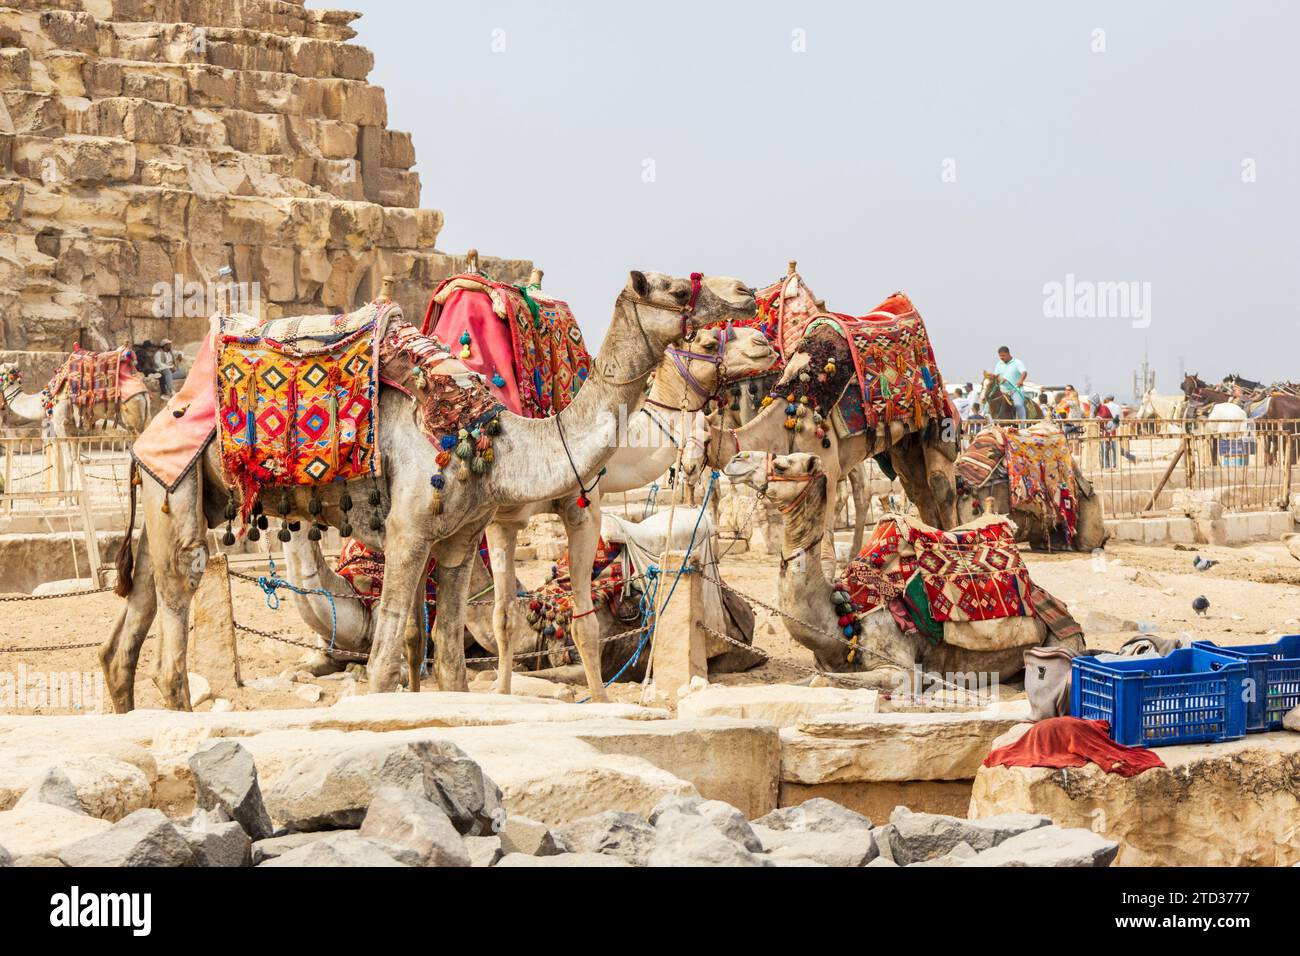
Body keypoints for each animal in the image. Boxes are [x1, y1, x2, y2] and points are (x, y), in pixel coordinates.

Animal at [103, 270, 757, 712]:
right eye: (676, 290)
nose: (747, 293)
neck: (498, 440)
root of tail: (144, 440)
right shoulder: (410, 529)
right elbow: (388, 649)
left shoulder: (461, 540)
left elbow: (447, 658)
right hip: (178, 486)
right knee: (176, 622)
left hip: (168, 505)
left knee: (122, 643)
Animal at [723, 451, 1083, 687]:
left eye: (781, 464)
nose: (735, 457)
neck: (840, 618)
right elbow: (810, 678)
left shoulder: (900, 666)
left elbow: (826, 681)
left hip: (1060, 641)